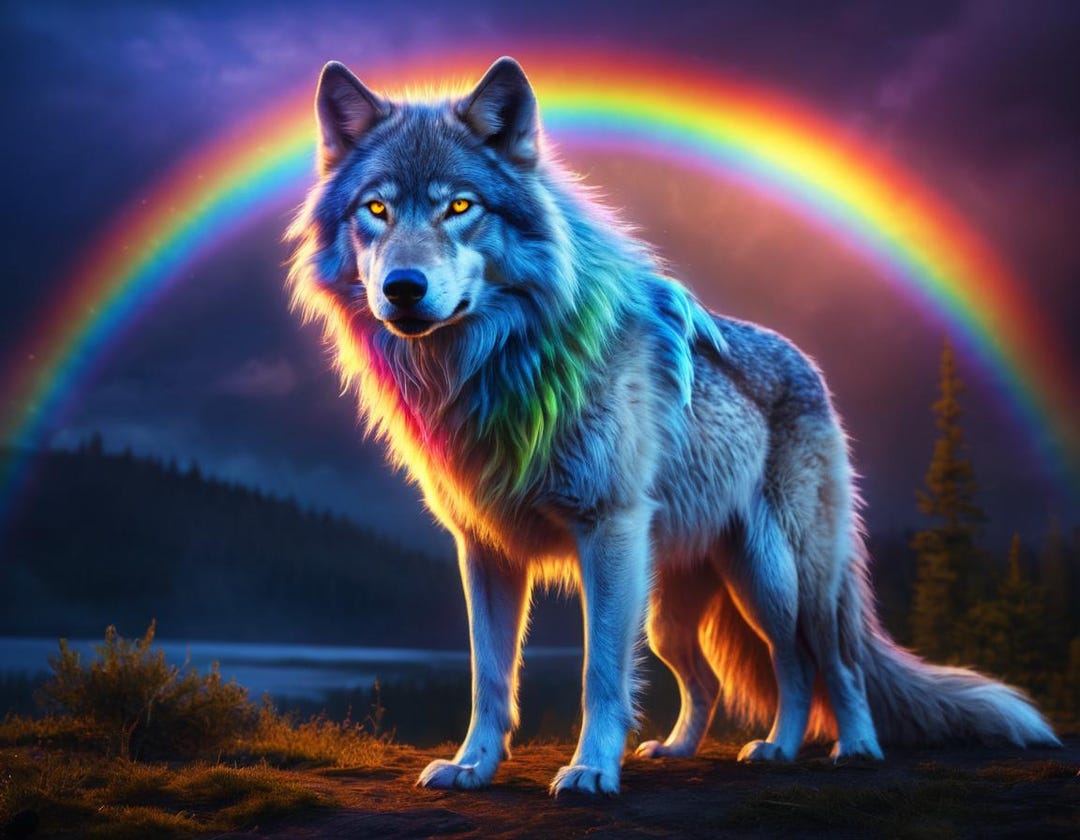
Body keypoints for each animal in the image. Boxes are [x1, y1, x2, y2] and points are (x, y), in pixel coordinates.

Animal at [286, 56, 1059, 795]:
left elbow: (599, 674)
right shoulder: (485, 550)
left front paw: (591, 771)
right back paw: (697, 749)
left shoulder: (607, 527)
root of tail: (811, 366)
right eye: (377, 209)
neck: (494, 369)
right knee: (719, 679)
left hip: (777, 578)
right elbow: (491, 677)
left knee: (821, 662)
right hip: (667, 612)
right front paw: (472, 766)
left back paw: (842, 748)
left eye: (459, 207)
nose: (403, 289)